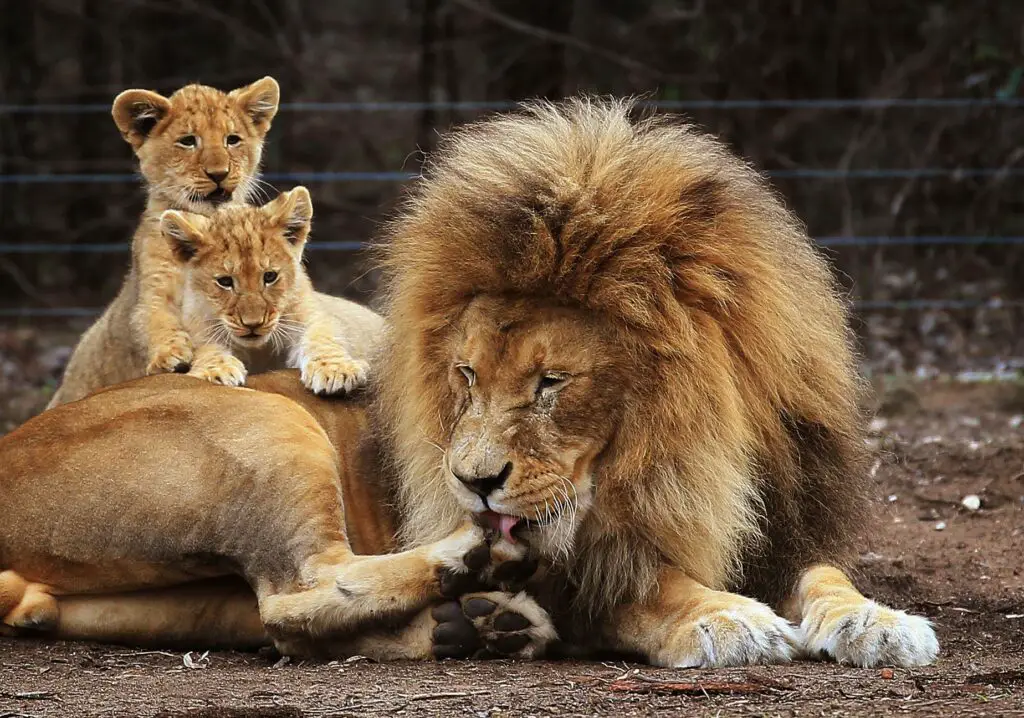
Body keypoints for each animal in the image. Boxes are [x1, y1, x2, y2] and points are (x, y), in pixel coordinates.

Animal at [46, 77, 284, 408]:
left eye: (232, 139)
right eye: (188, 141)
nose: (219, 174)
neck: (205, 221)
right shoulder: (152, 291)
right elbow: (154, 320)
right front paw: (172, 356)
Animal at [159, 186, 381, 393]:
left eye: (269, 276)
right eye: (225, 281)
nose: (253, 324)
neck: (258, 350)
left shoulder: (310, 317)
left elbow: (321, 338)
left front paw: (335, 371)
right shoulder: (199, 328)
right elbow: (207, 348)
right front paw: (216, 370)